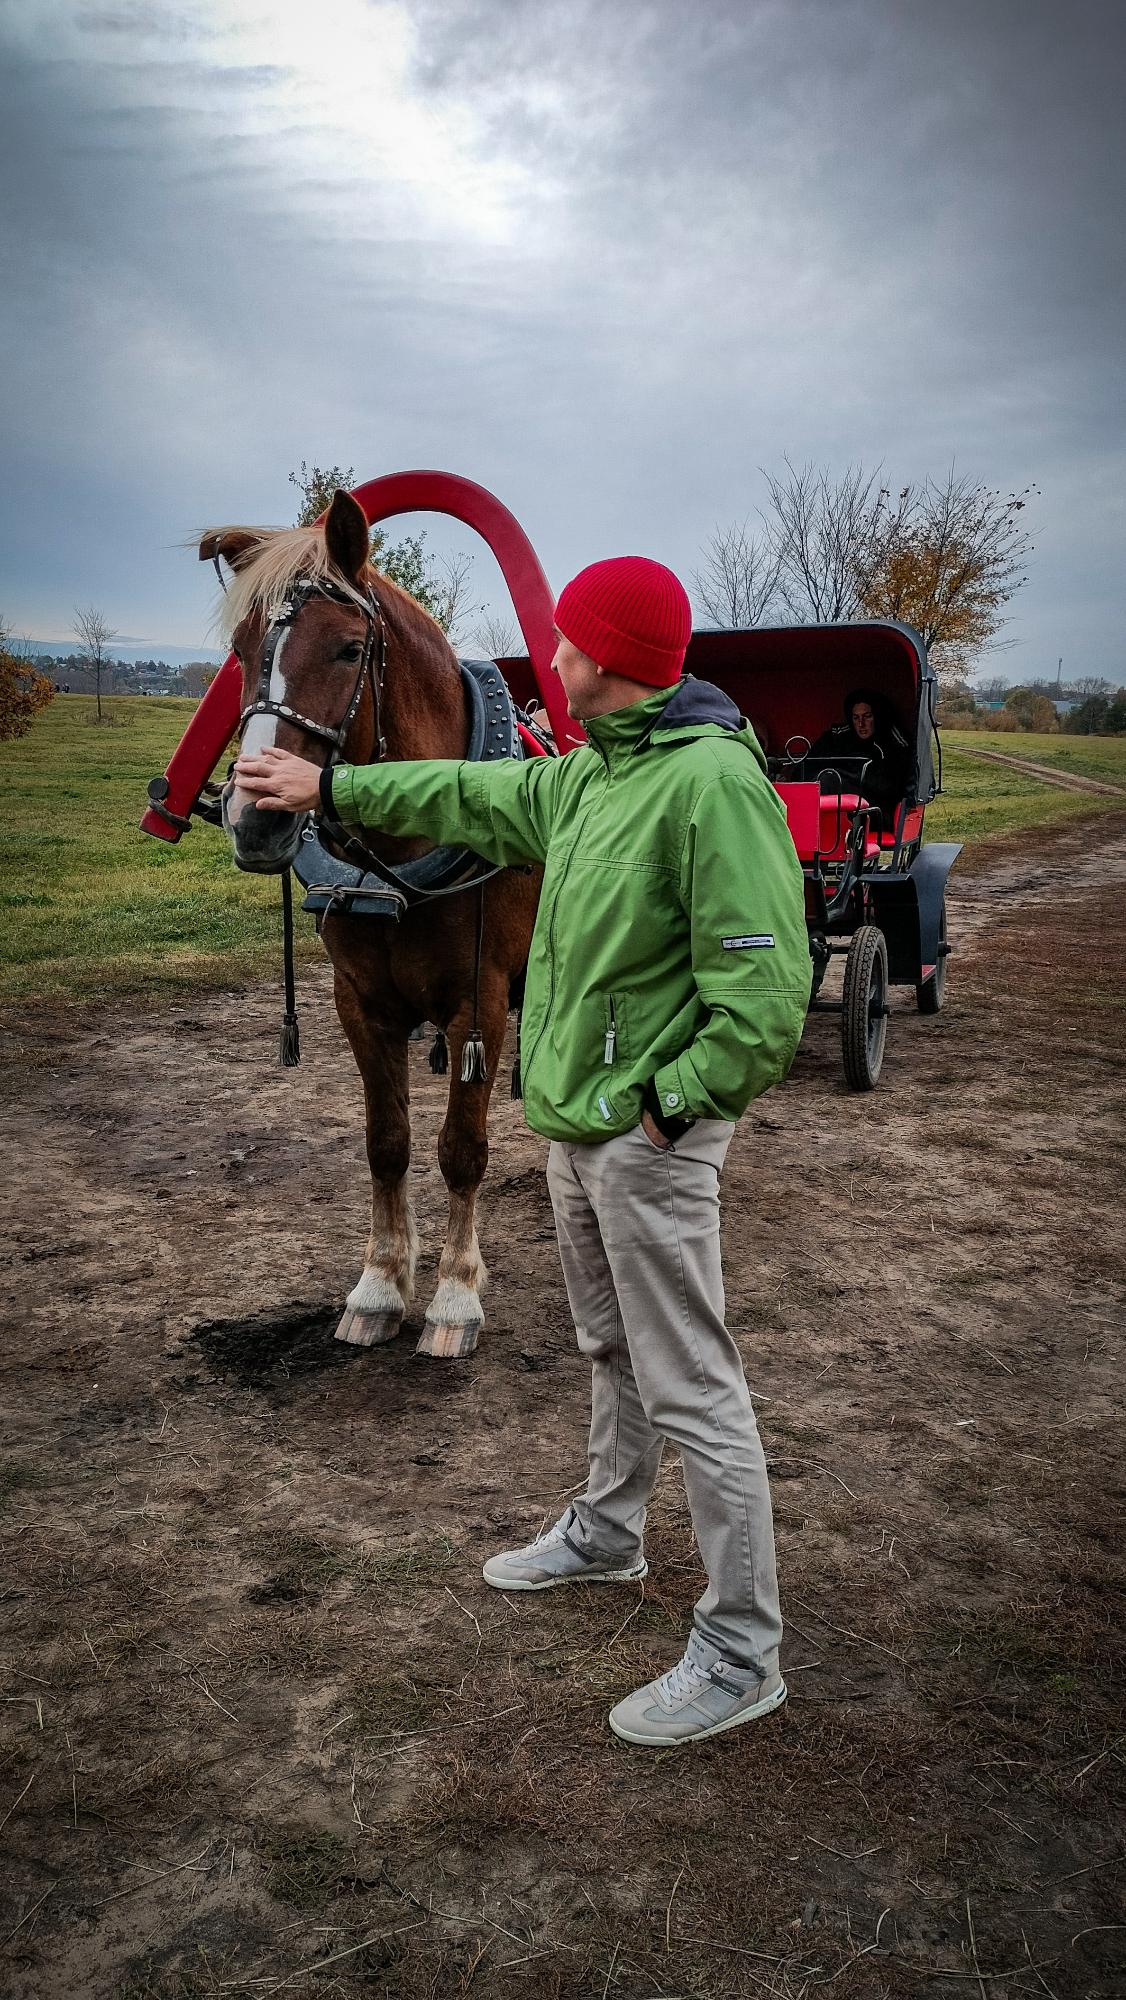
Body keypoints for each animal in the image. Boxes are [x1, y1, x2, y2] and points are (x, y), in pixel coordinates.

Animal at [204, 490, 540, 1360]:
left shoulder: (480, 1005)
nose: (253, 818)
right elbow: (386, 1143)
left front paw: (455, 1296)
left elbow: (462, 1150)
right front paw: (381, 1285)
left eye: (349, 650)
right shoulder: (360, 1003)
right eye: (243, 649)